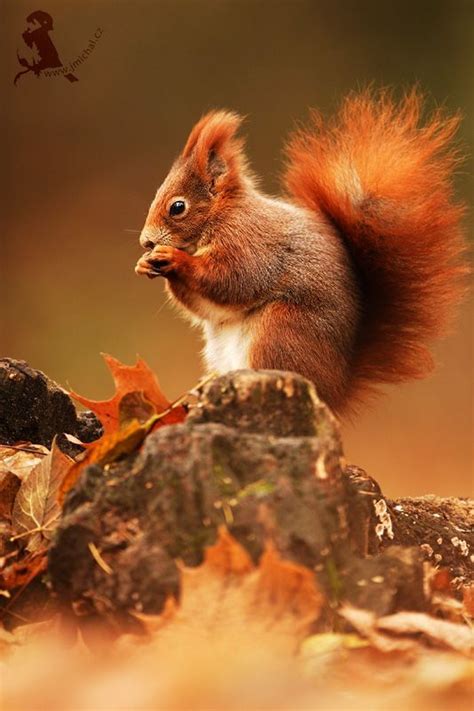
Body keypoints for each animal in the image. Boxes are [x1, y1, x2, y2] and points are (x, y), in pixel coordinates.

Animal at [135, 89, 467, 415]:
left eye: (178, 207)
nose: (146, 242)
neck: (222, 215)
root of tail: (334, 391)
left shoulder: (248, 242)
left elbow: (231, 280)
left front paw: (173, 259)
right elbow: (207, 306)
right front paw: (145, 265)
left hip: (280, 331)